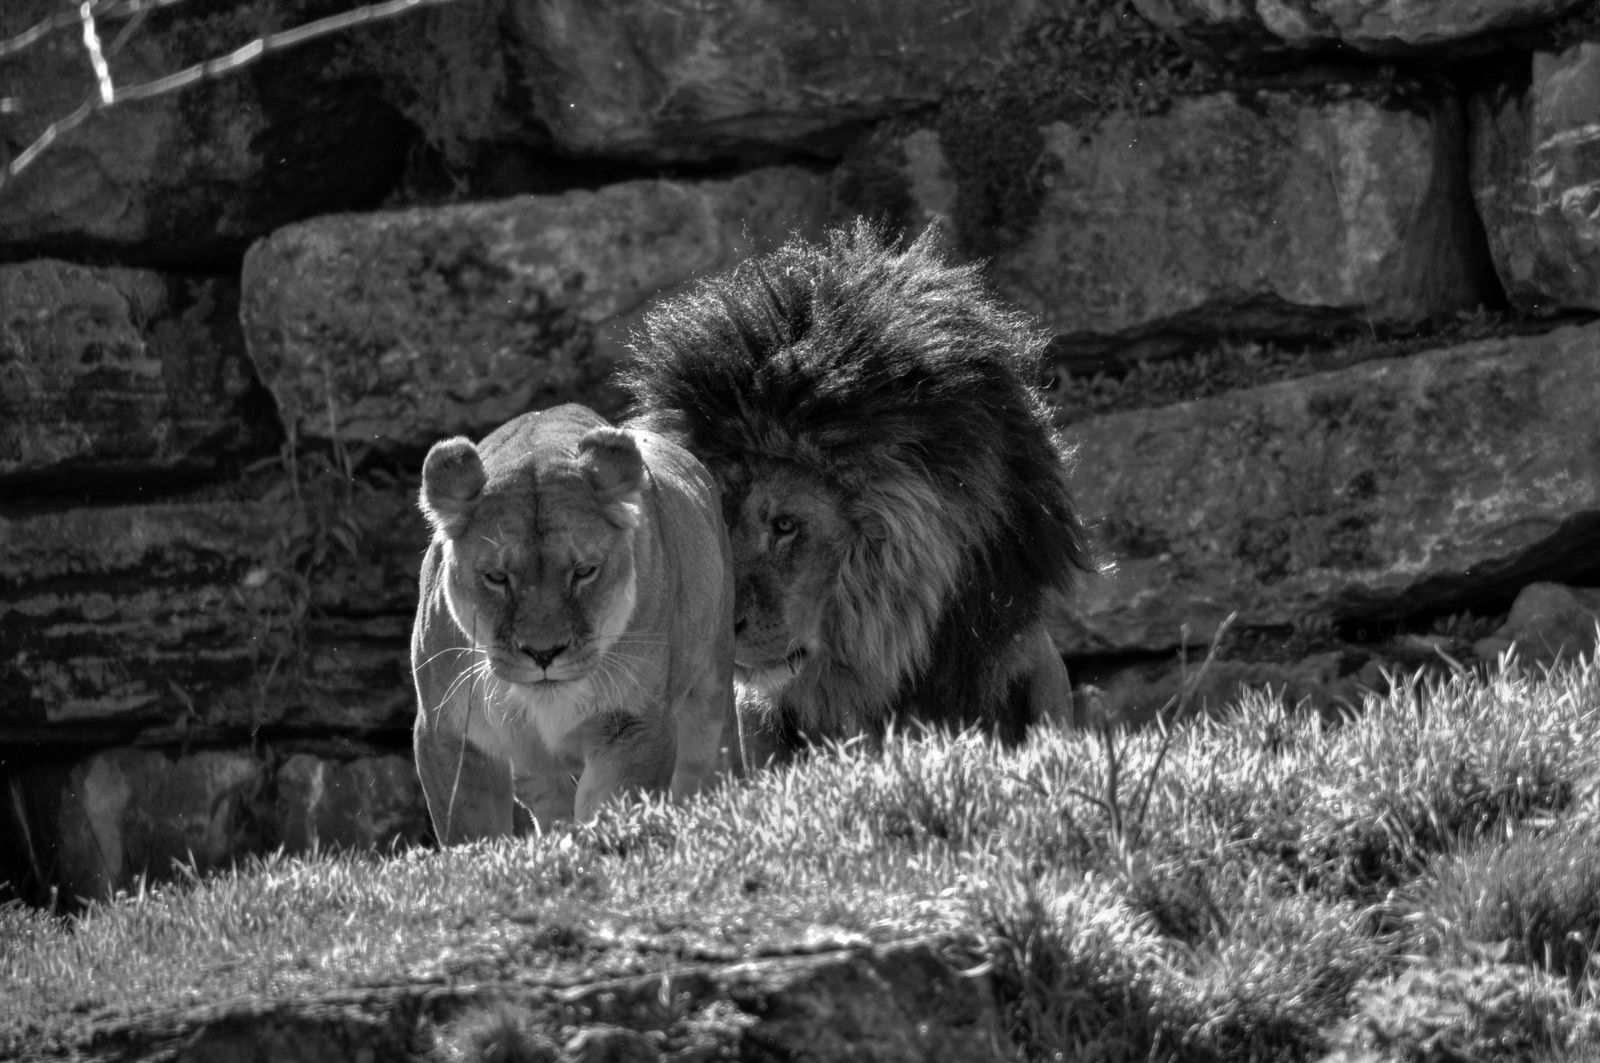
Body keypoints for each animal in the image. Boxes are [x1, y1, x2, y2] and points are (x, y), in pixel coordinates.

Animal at [410, 403, 736, 843]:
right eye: (496, 577)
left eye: (584, 572)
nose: (543, 653)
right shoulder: (445, 732)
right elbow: (469, 827)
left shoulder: (635, 724)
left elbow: (613, 801)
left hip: (712, 696)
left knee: (705, 768)